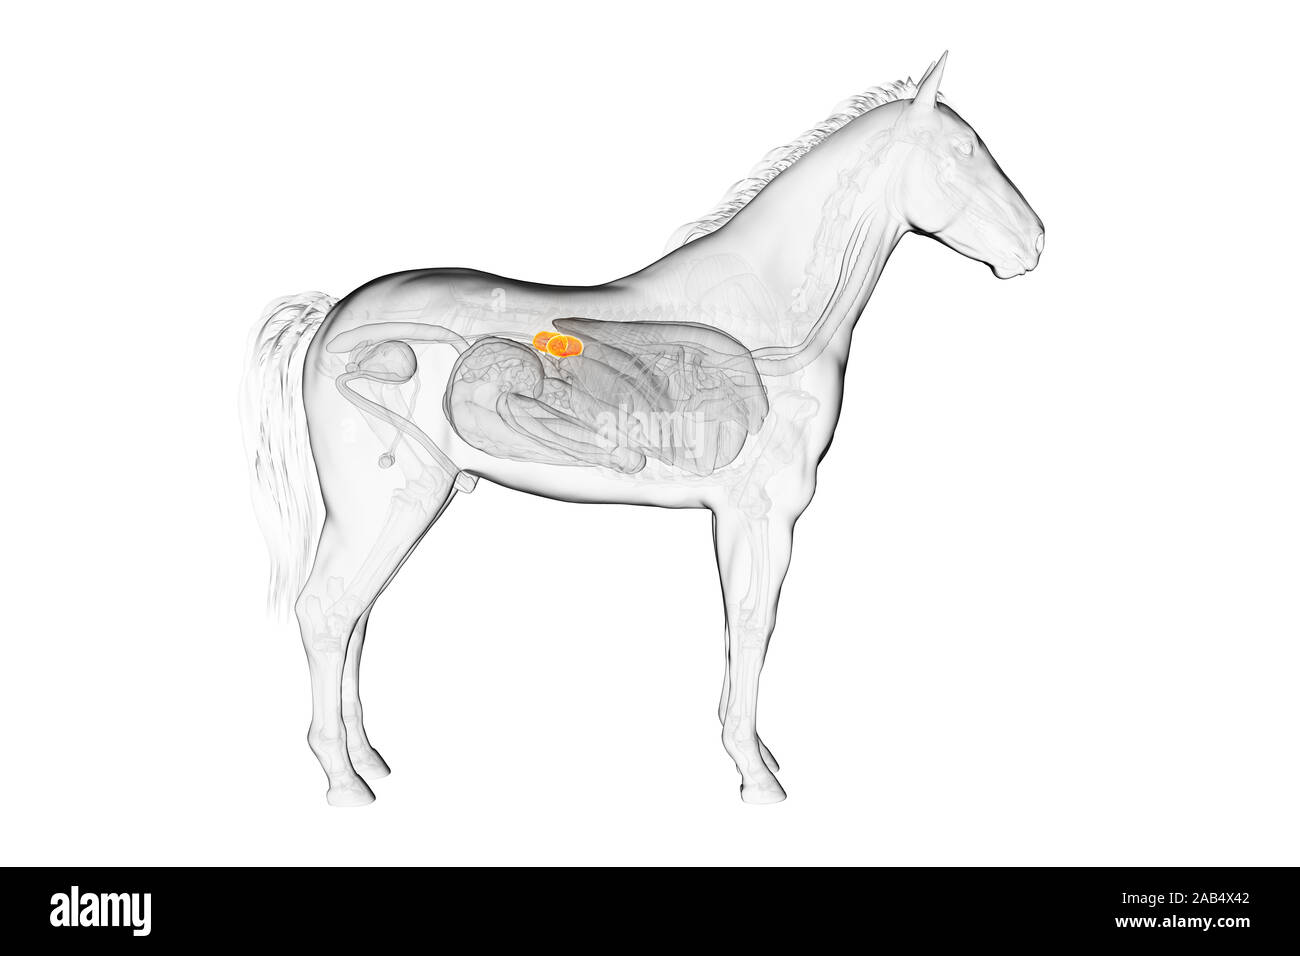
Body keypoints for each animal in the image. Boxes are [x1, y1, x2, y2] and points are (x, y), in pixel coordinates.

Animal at [241, 53, 1044, 806]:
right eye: (963, 150)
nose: (1035, 244)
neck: (765, 324)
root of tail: (332, 318)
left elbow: (742, 626)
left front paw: (755, 754)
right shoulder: (760, 513)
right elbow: (753, 622)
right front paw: (756, 776)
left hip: (400, 507)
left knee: (354, 616)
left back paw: (369, 761)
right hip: (385, 502)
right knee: (325, 612)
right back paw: (344, 784)